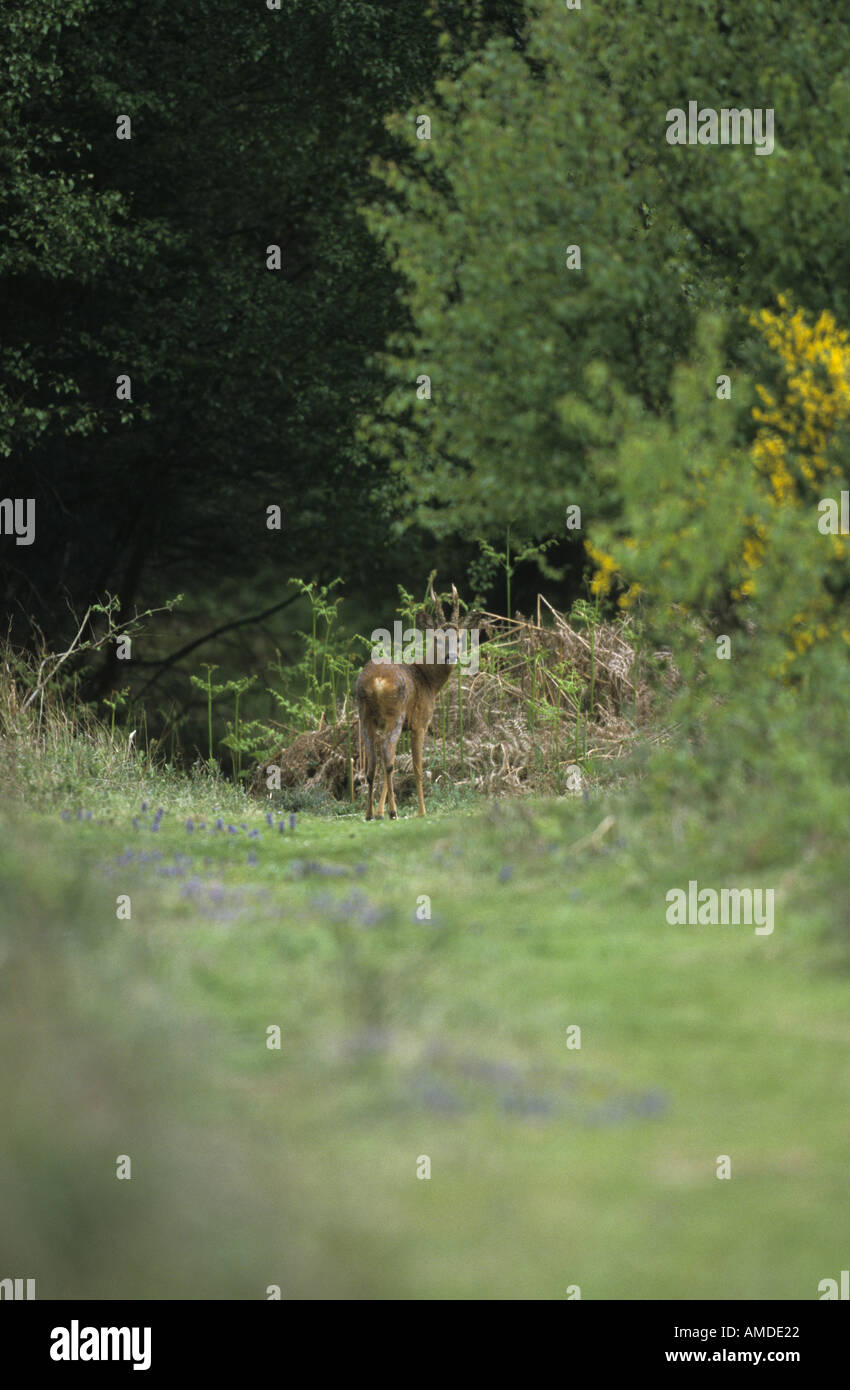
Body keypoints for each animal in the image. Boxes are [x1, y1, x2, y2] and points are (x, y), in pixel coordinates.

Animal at [355, 576, 481, 821]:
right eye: (438, 639)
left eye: (460, 638)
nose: (452, 656)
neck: (428, 680)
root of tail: (376, 682)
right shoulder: (420, 722)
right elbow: (417, 767)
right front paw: (422, 811)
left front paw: (380, 810)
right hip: (394, 713)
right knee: (387, 753)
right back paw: (394, 811)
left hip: (364, 715)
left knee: (374, 760)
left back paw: (369, 813)